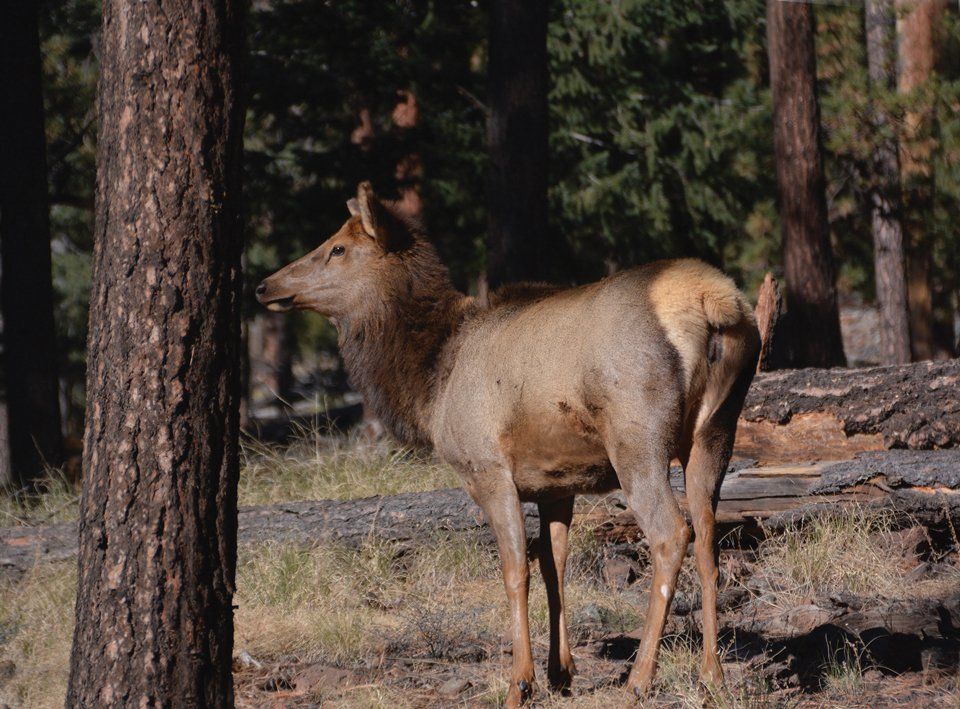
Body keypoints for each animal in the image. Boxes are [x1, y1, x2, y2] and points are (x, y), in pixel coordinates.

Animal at [256, 182, 761, 706]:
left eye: (337, 248)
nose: (264, 286)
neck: (431, 381)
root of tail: (715, 303)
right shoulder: (558, 482)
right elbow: (555, 566)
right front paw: (561, 672)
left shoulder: (487, 468)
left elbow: (515, 569)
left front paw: (521, 679)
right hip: (717, 432)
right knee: (709, 538)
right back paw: (712, 675)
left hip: (637, 441)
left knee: (671, 533)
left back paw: (641, 677)